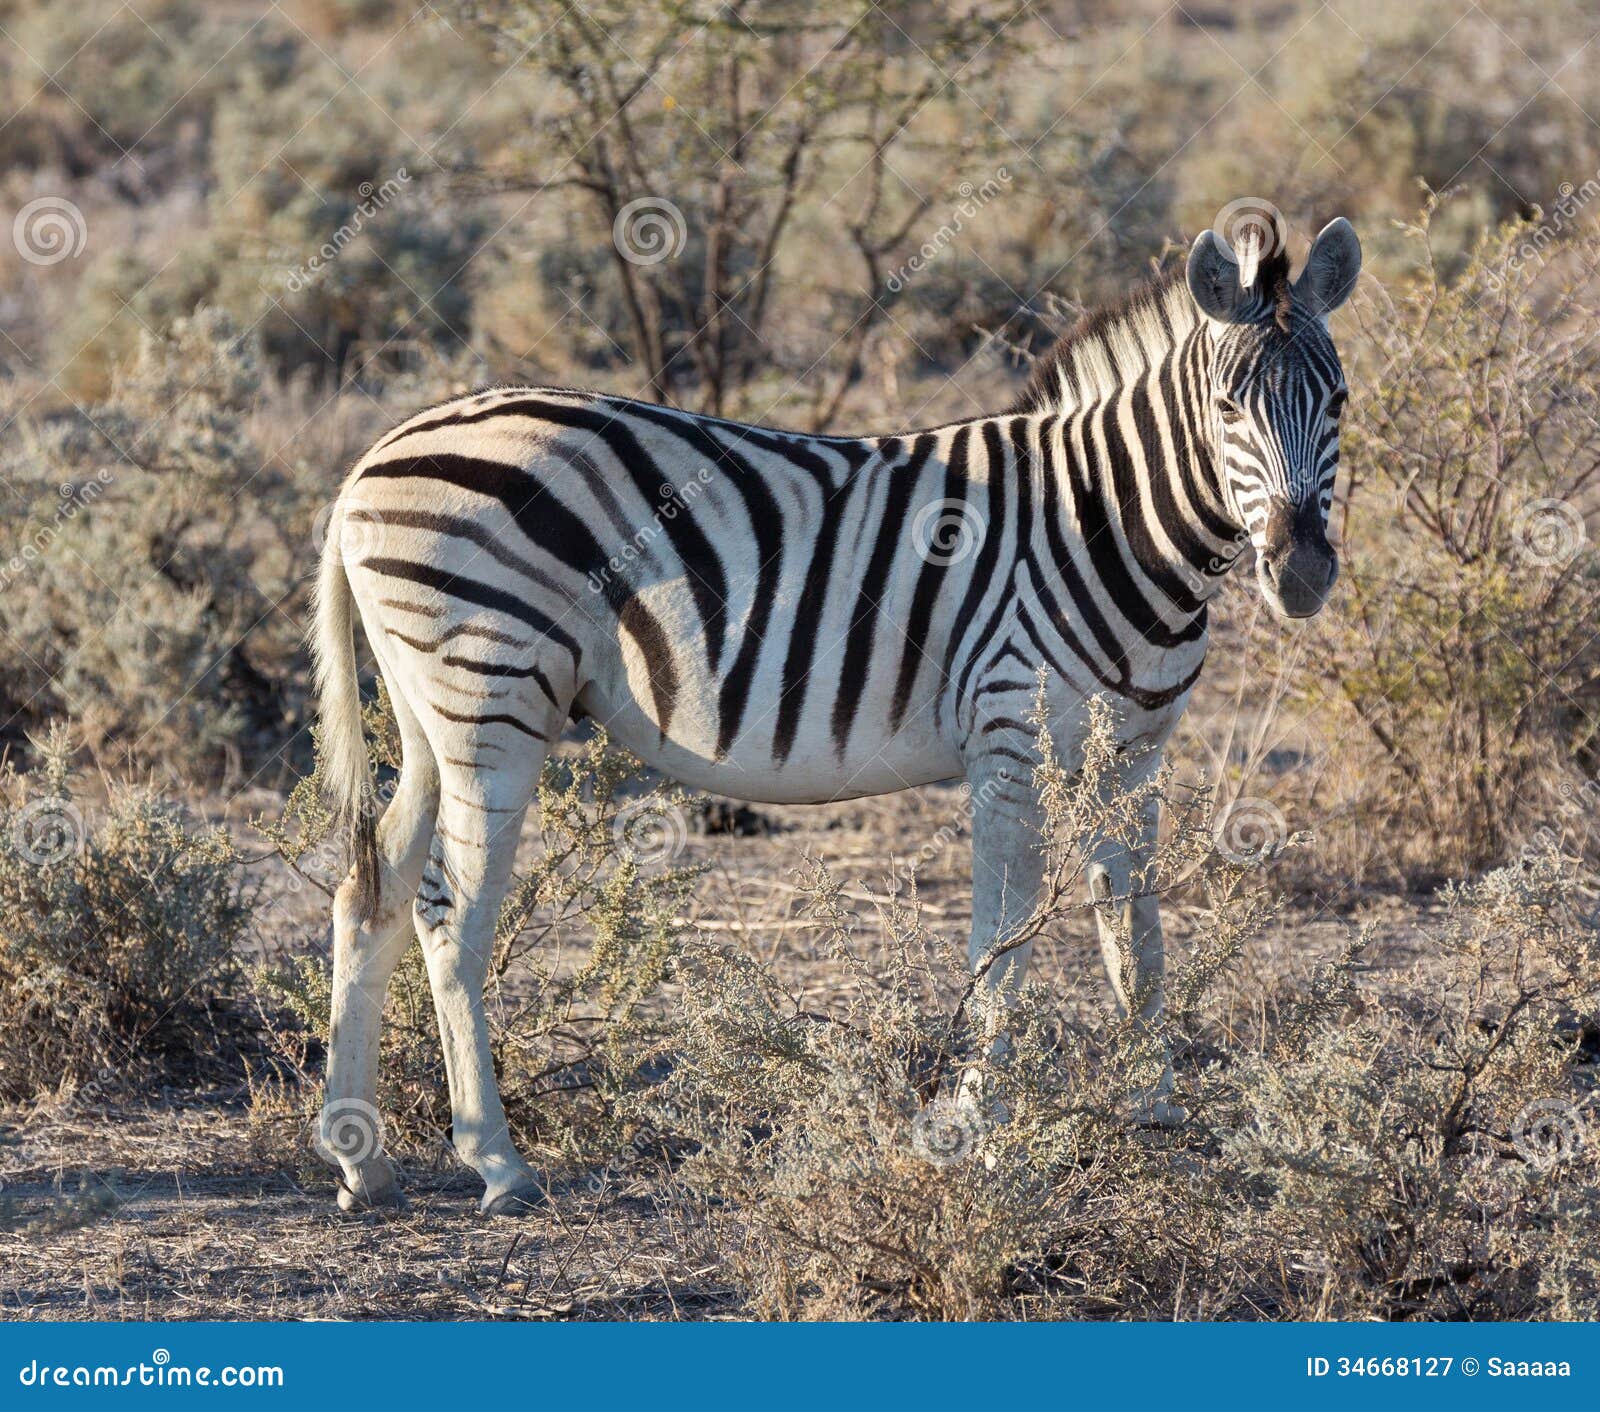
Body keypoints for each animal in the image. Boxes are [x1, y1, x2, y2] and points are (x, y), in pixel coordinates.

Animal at [311, 212, 1361, 1214]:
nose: (1304, 574)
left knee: (374, 893)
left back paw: (363, 1160)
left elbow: (1133, 935)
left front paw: (1153, 1113)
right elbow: (1004, 942)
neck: (1110, 524)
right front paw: (976, 1130)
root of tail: (371, 459)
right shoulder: (1009, 743)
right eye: (1227, 408)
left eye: (1341, 402)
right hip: (492, 696)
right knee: (452, 912)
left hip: (430, 714)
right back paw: (496, 1160)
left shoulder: (1134, 753)